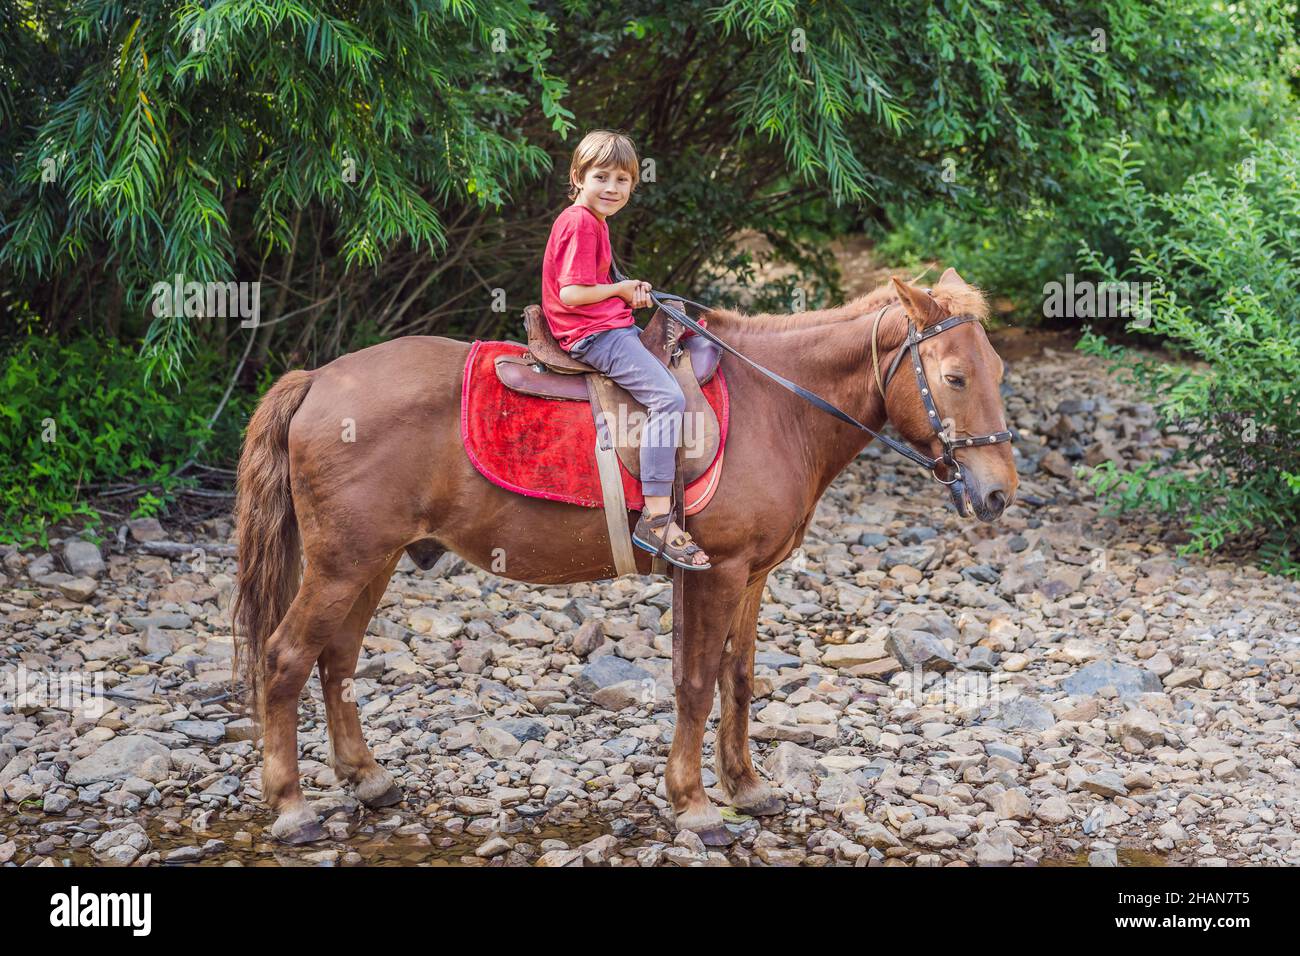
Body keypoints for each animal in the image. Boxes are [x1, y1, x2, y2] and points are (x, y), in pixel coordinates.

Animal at [231, 267, 1018, 846]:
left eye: (998, 369)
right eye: (954, 377)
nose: (998, 492)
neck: (777, 405)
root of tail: (318, 379)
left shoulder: (752, 577)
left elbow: (737, 678)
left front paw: (747, 787)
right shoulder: (716, 573)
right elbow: (696, 684)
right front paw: (695, 804)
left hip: (375, 561)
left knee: (337, 661)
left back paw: (367, 778)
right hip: (343, 564)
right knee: (286, 659)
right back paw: (293, 808)